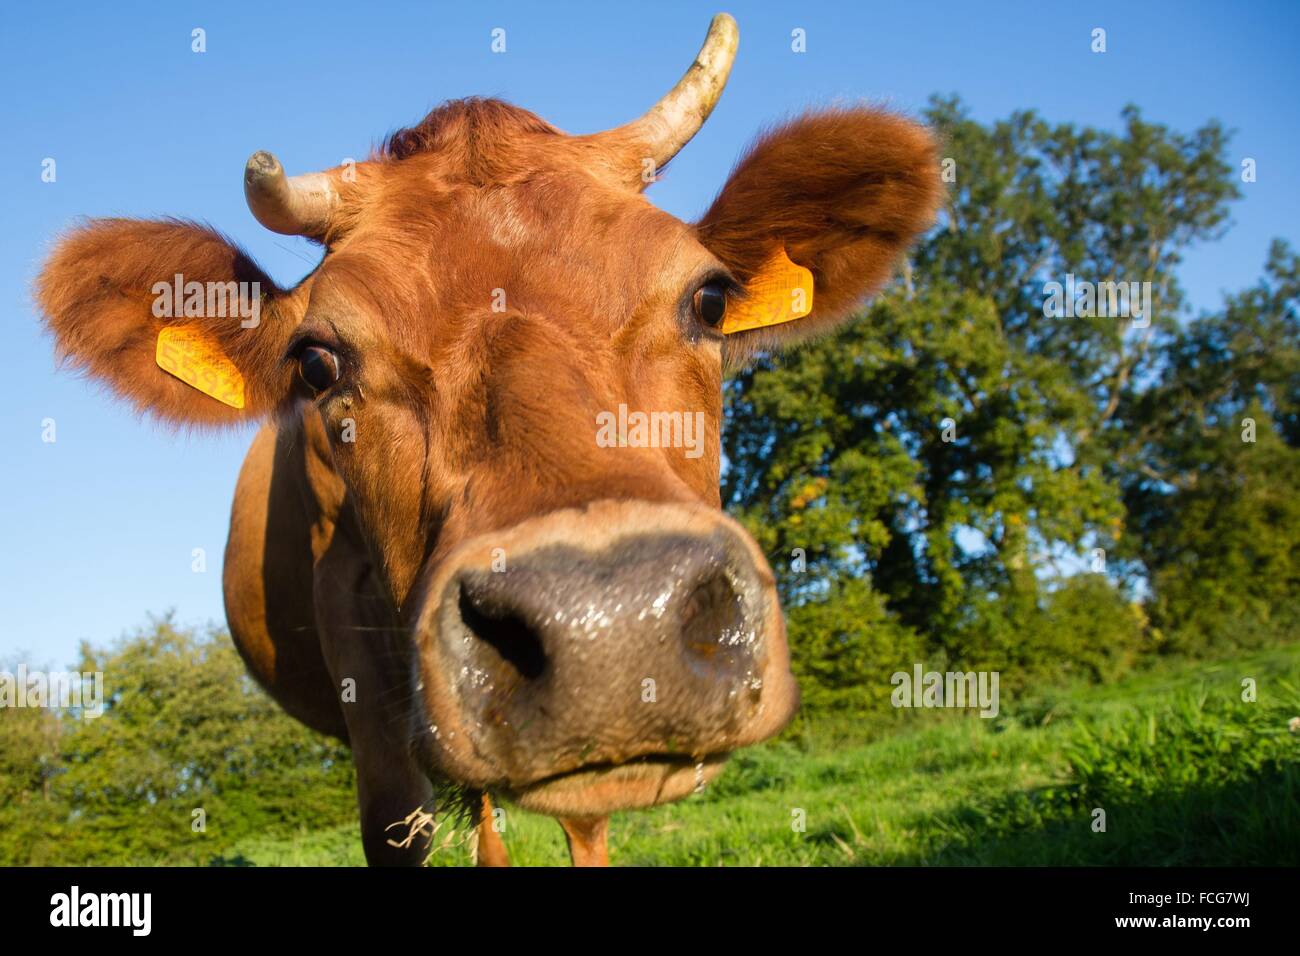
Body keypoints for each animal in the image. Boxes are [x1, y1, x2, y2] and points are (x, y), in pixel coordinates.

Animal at [35, 14, 941, 866]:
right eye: (319, 362)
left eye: (710, 298)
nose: (612, 626)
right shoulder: (350, 623)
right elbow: (399, 824)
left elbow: (585, 826)